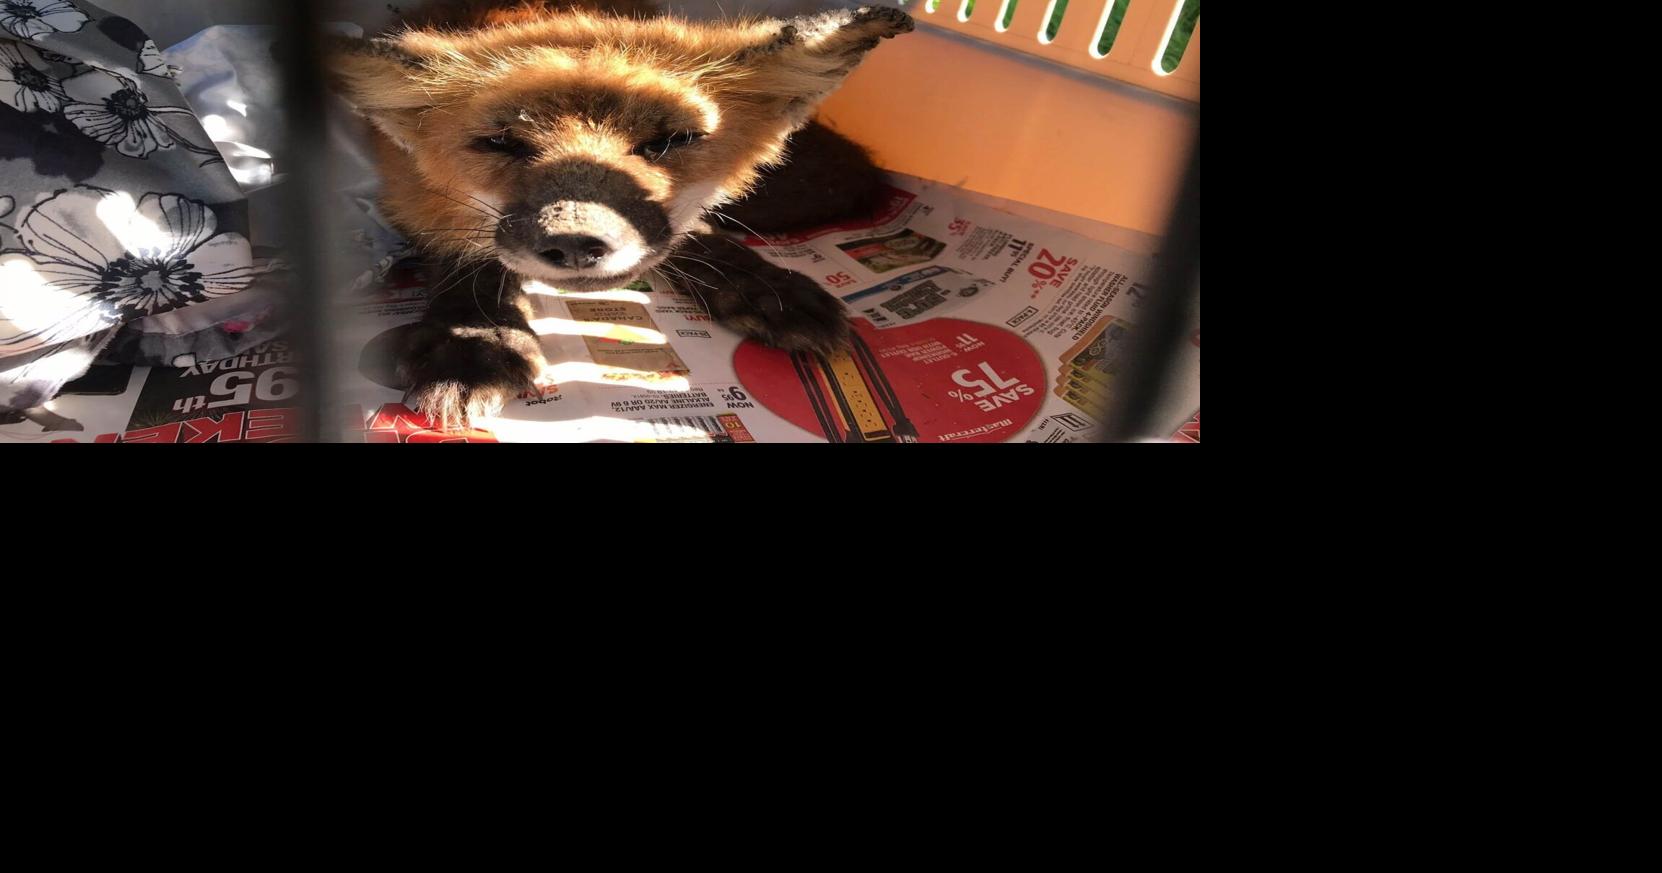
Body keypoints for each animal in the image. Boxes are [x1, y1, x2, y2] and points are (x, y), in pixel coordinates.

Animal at [328, 0, 914, 429]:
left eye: (670, 140)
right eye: (501, 142)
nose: (575, 243)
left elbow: (696, 233)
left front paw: (761, 284)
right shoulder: (407, 190)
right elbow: (468, 256)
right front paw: (475, 341)